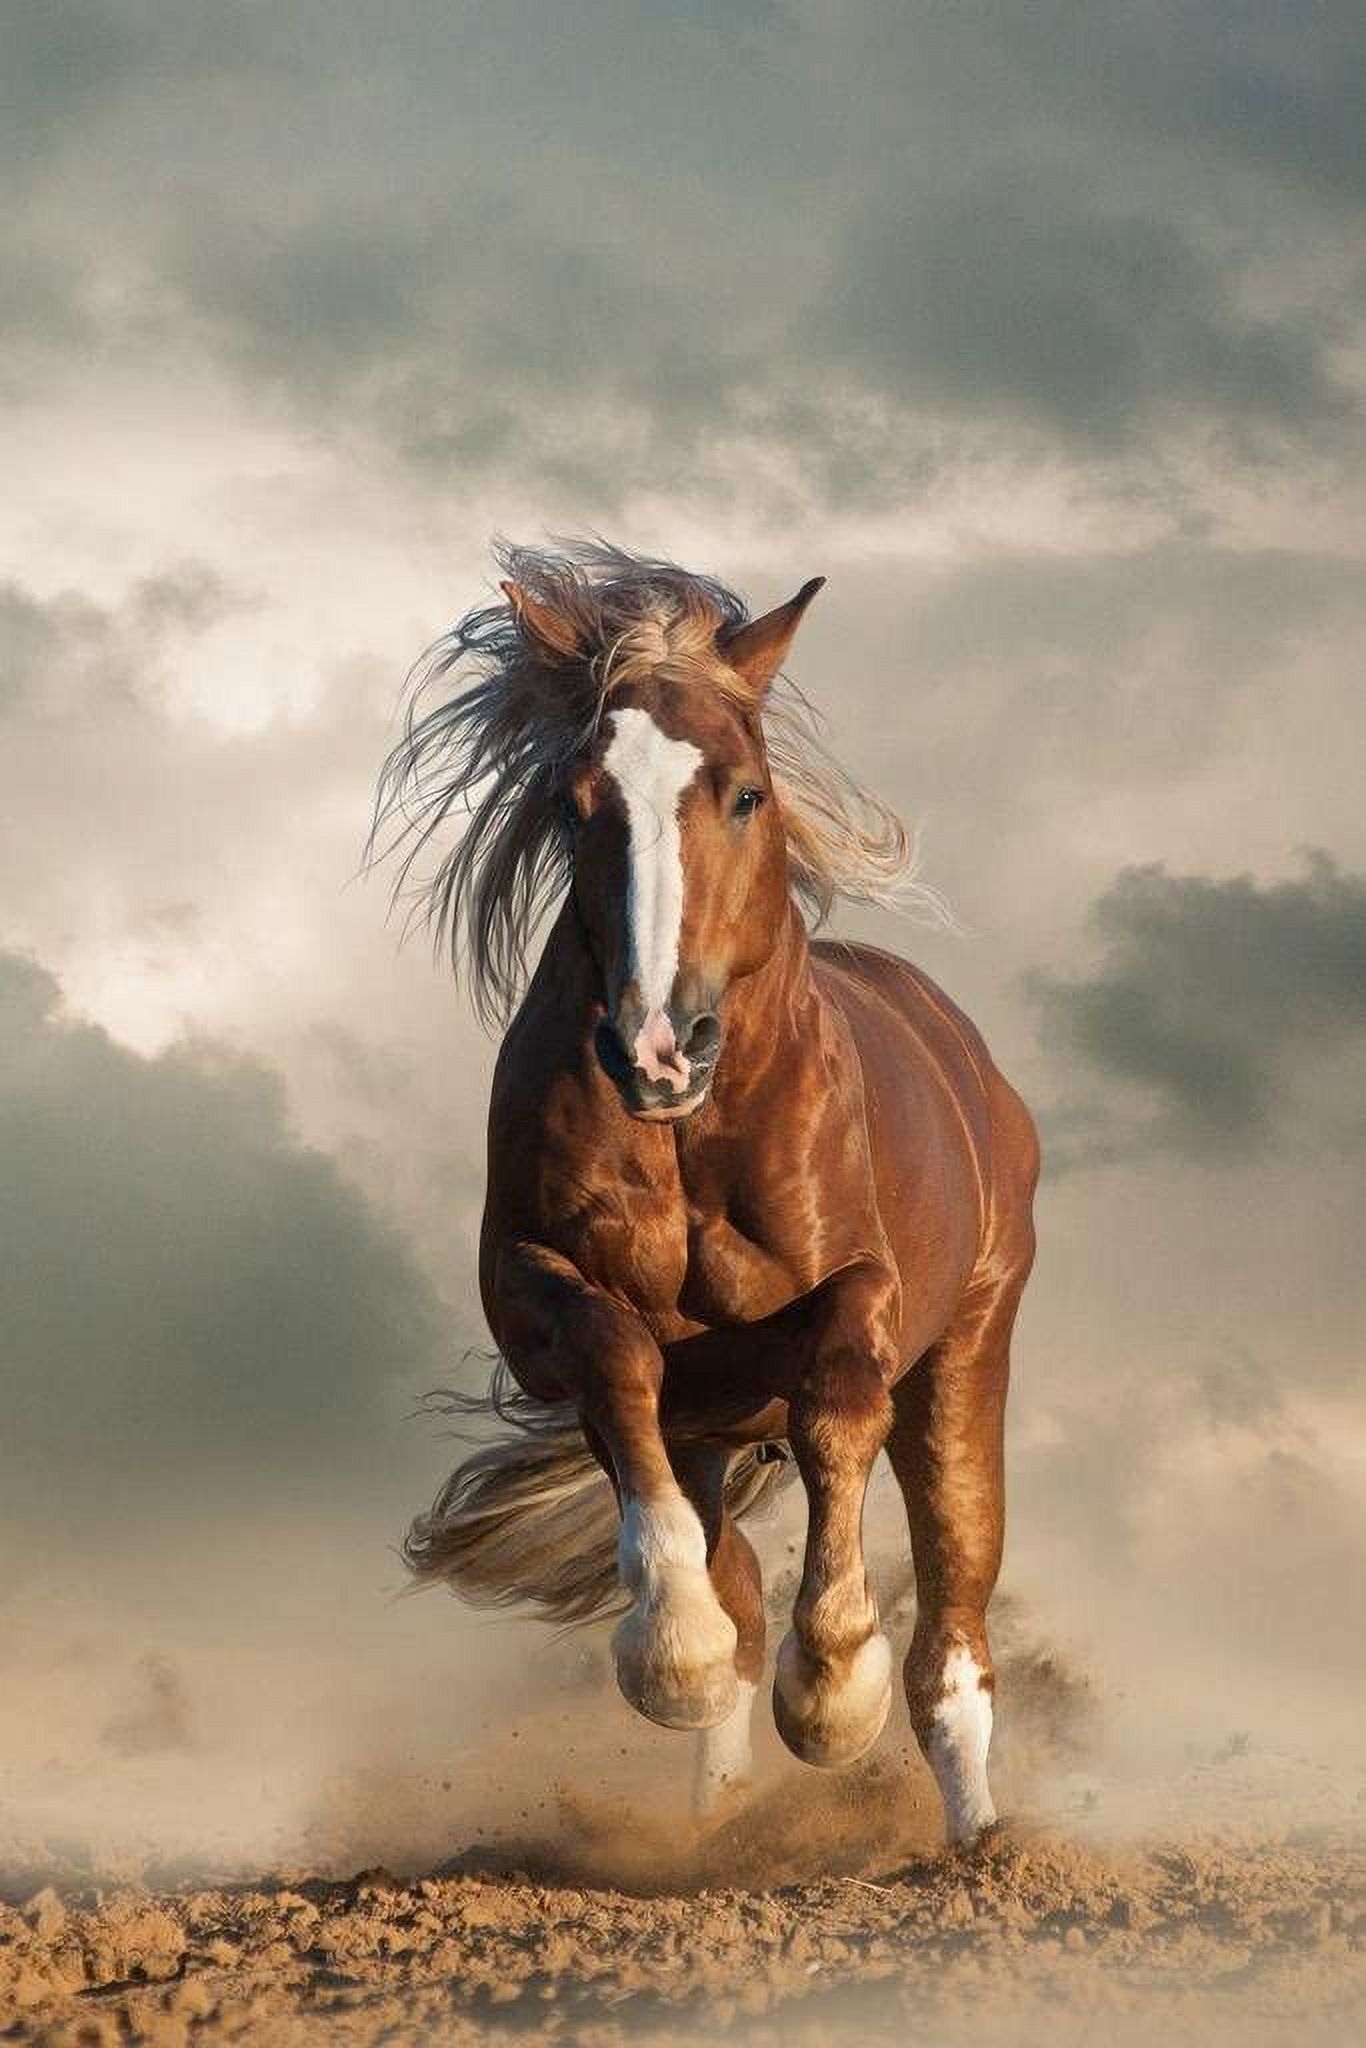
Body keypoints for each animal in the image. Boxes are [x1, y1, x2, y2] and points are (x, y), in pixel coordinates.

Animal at [371, 541, 1039, 1846]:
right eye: (576, 803)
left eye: (745, 793)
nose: (656, 1046)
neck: (692, 1135)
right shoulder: (536, 1295)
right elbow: (616, 1360)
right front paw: (671, 1651)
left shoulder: (865, 1291)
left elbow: (838, 1398)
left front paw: (830, 1689)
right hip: (714, 1430)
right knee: (732, 1571)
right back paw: (720, 1809)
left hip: (968, 1351)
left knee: (954, 1620)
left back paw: (974, 1839)